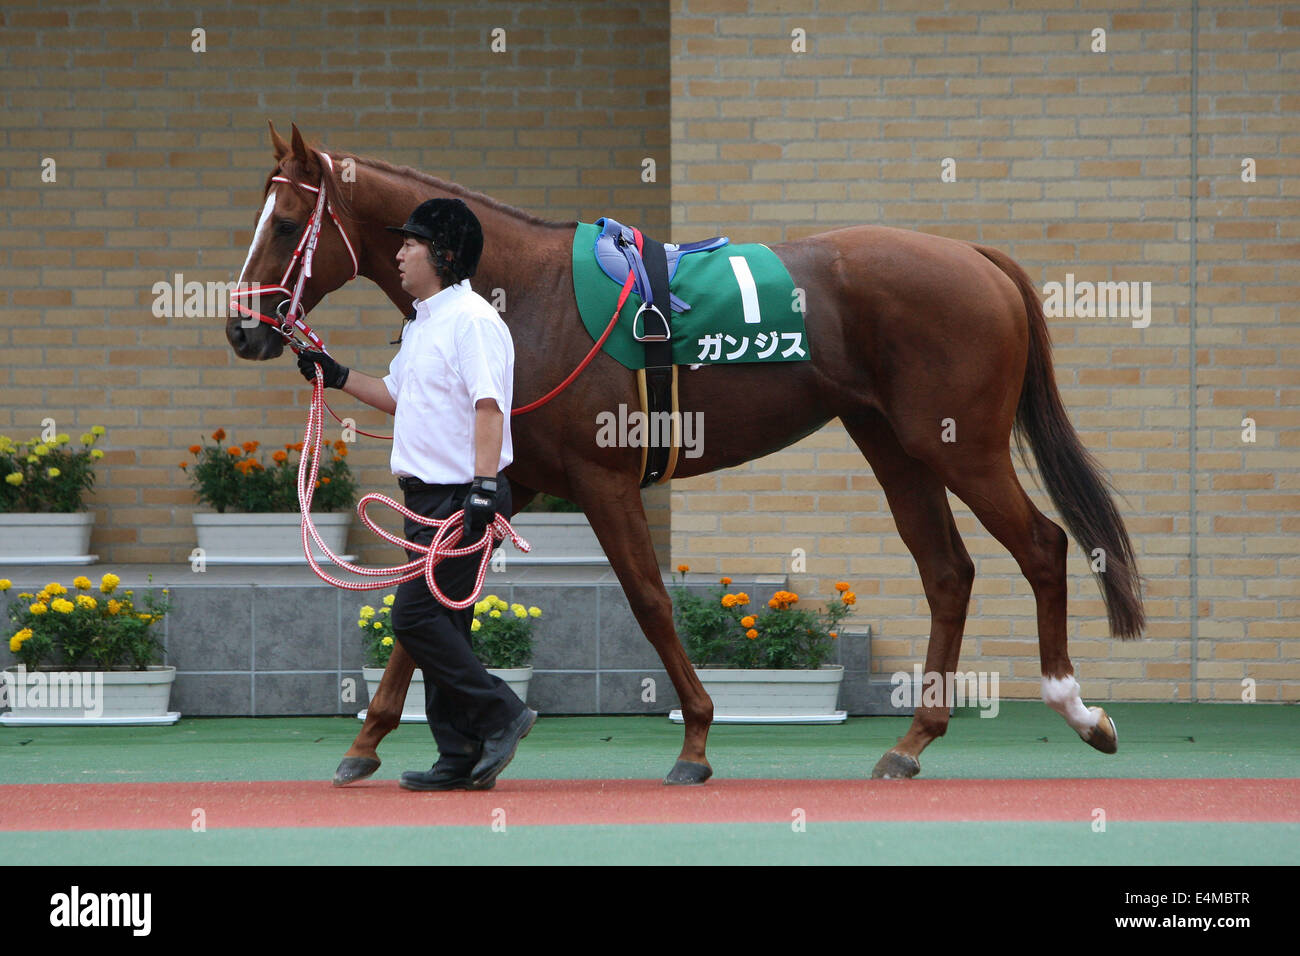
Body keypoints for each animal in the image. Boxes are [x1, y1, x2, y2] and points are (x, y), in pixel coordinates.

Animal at [227, 123, 1143, 785]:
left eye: (285, 224)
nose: (244, 328)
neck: (522, 294)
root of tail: (976, 258)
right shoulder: (508, 478)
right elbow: (421, 609)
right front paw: (370, 741)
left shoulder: (602, 481)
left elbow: (648, 601)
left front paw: (697, 740)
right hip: (894, 446)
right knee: (949, 572)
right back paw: (912, 741)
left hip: (962, 446)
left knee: (1042, 546)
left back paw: (1079, 710)